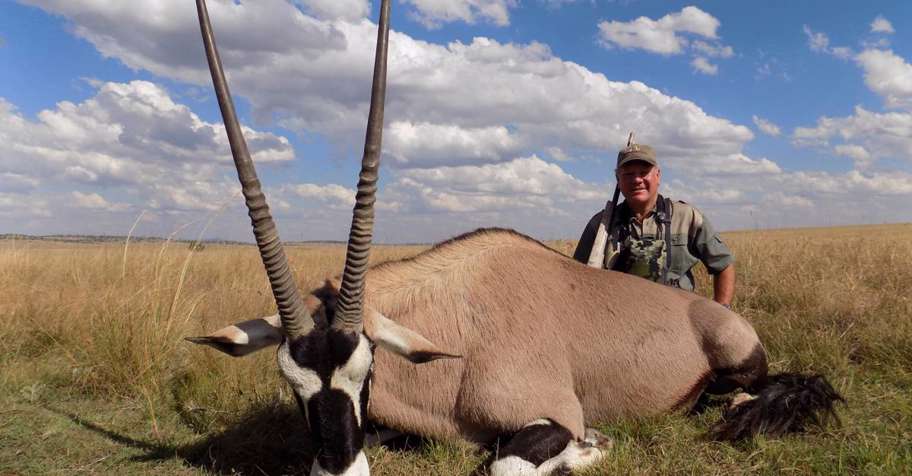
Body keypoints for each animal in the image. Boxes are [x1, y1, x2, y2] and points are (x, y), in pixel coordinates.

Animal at [189, 1, 843, 475]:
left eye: (366, 371)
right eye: (290, 382)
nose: (338, 468)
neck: (457, 327)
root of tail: (715, 311)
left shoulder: (551, 412)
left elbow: (508, 461)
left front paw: (592, 446)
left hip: (737, 367)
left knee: (738, 397)